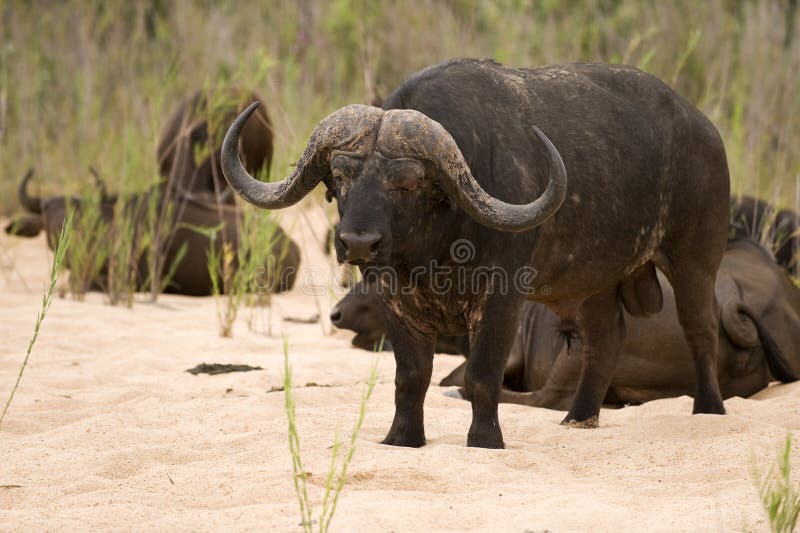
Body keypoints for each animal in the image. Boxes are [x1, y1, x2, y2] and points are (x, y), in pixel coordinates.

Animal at [222, 58, 731, 448]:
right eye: (340, 176)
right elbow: (411, 376)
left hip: (695, 260)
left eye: (407, 182)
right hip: (592, 284)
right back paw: (578, 418)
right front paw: (401, 439)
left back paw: (709, 410)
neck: (436, 250)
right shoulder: (396, 303)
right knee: (604, 340)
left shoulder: (501, 300)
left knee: (701, 329)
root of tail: (704, 129)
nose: (358, 243)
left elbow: (481, 374)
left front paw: (485, 440)